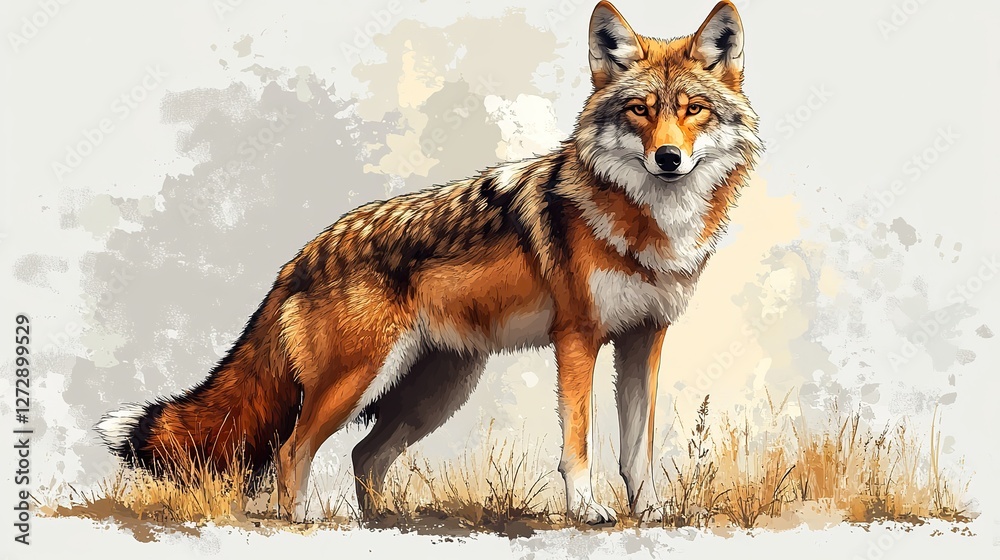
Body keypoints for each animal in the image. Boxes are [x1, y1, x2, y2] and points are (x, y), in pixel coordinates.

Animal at [97, 0, 761, 525]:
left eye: (693, 109)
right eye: (640, 111)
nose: (669, 158)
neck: (649, 224)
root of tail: (302, 254)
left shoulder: (644, 338)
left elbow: (636, 450)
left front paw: (649, 513)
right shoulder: (578, 339)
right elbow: (579, 444)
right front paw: (588, 510)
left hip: (436, 391)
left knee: (363, 455)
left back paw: (384, 523)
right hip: (362, 380)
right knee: (294, 450)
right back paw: (306, 523)